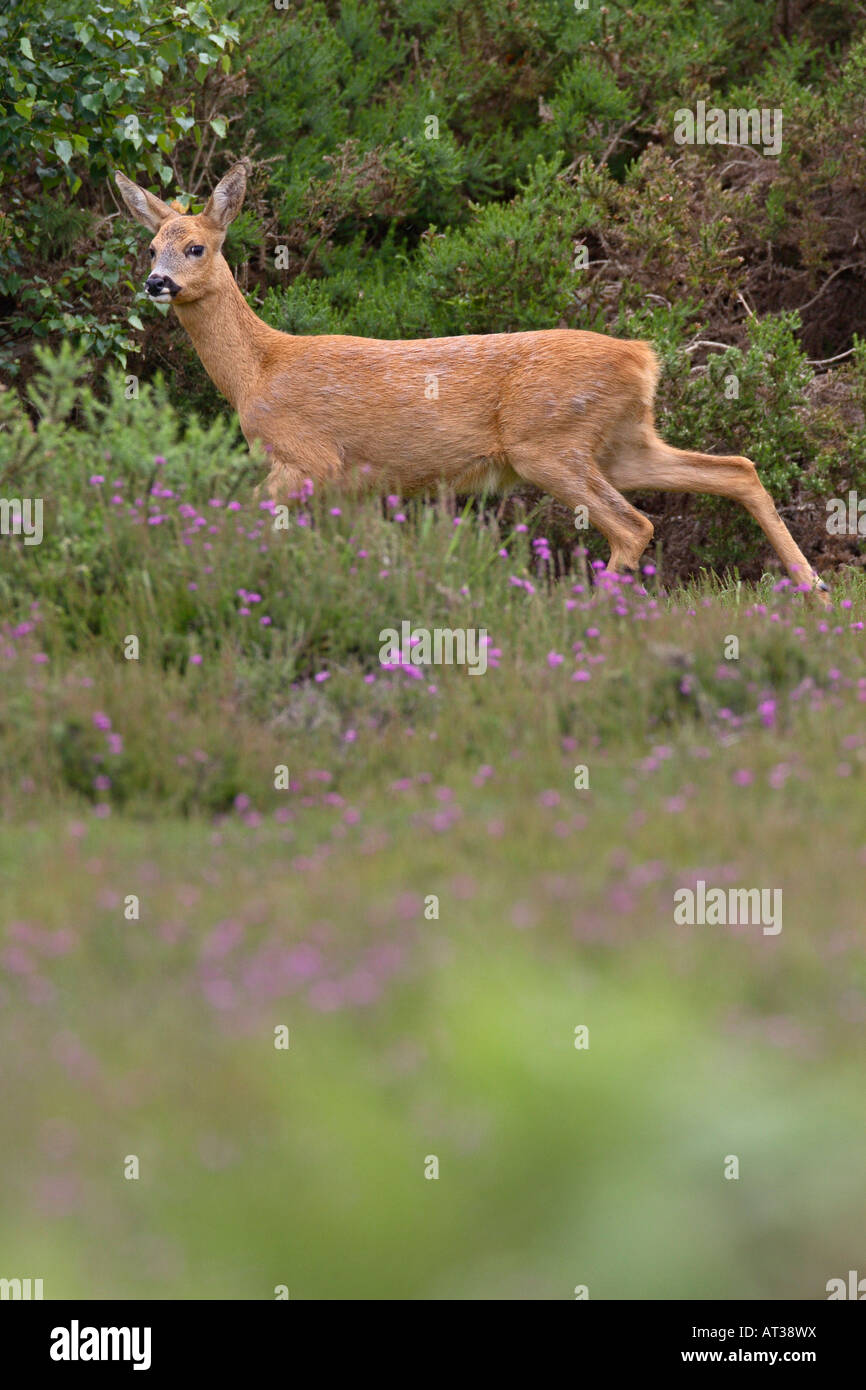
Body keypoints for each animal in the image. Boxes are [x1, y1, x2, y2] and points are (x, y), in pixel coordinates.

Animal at [114, 162, 830, 603]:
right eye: (149, 246)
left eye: (197, 247)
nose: (155, 282)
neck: (258, 371)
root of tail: (643, 357)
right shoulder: (358, 486)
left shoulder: (308, 456)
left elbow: (233, 512)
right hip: (621, 442)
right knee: (735, 468)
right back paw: (814, 589)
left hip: (548, 441)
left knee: (633, 525)